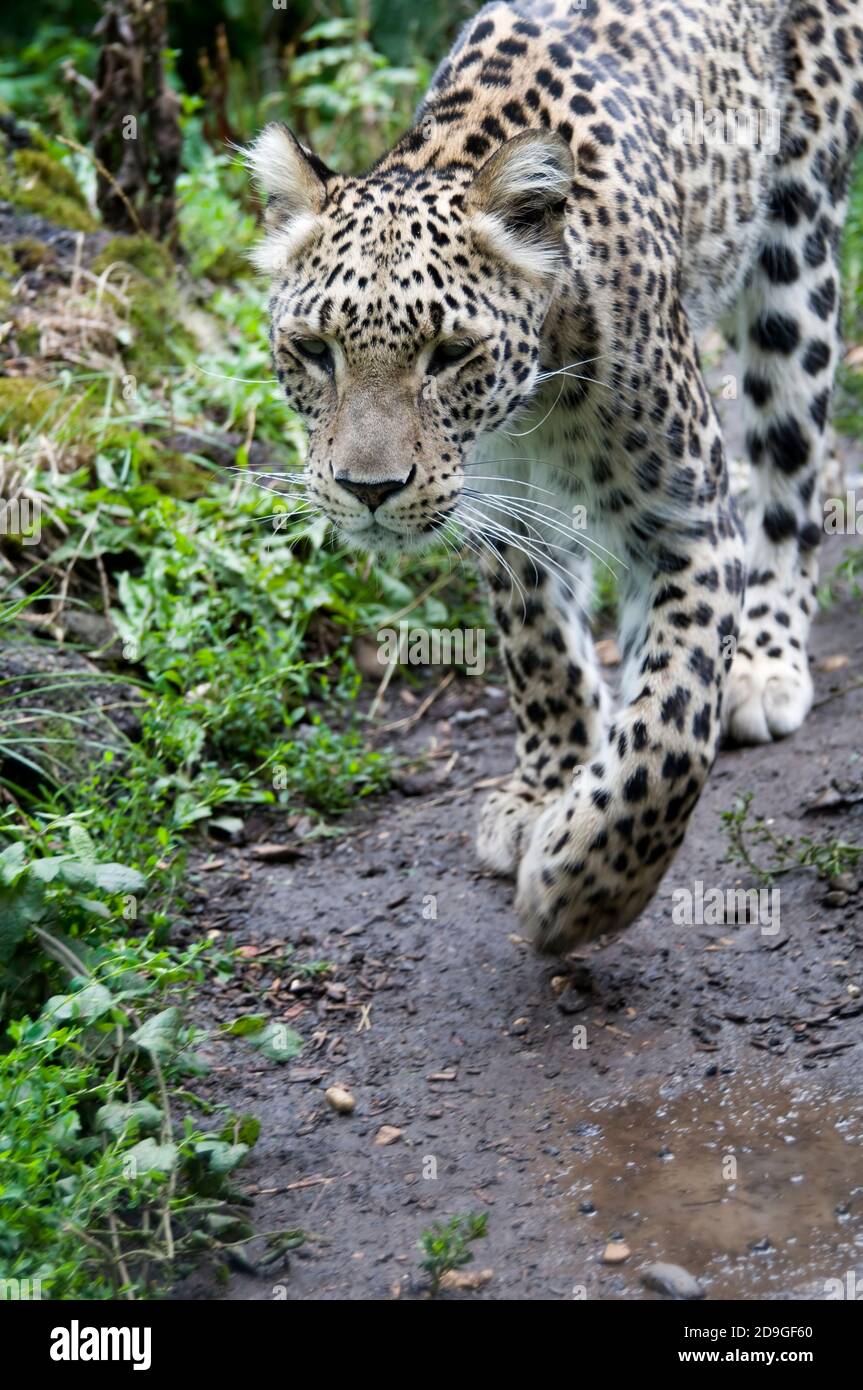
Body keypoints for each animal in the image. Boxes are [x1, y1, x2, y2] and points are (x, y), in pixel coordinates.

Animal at [244, 0, 863, 955]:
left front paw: (582, 891)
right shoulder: (502, 515)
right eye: (314, 351)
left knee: (793, 454)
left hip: (797, 249)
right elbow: (543, 651)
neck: (530, 404)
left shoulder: (685, 523)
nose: (368, 489)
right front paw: (548, 788)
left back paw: (766, 659)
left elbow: (669, 727)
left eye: (449, 354)